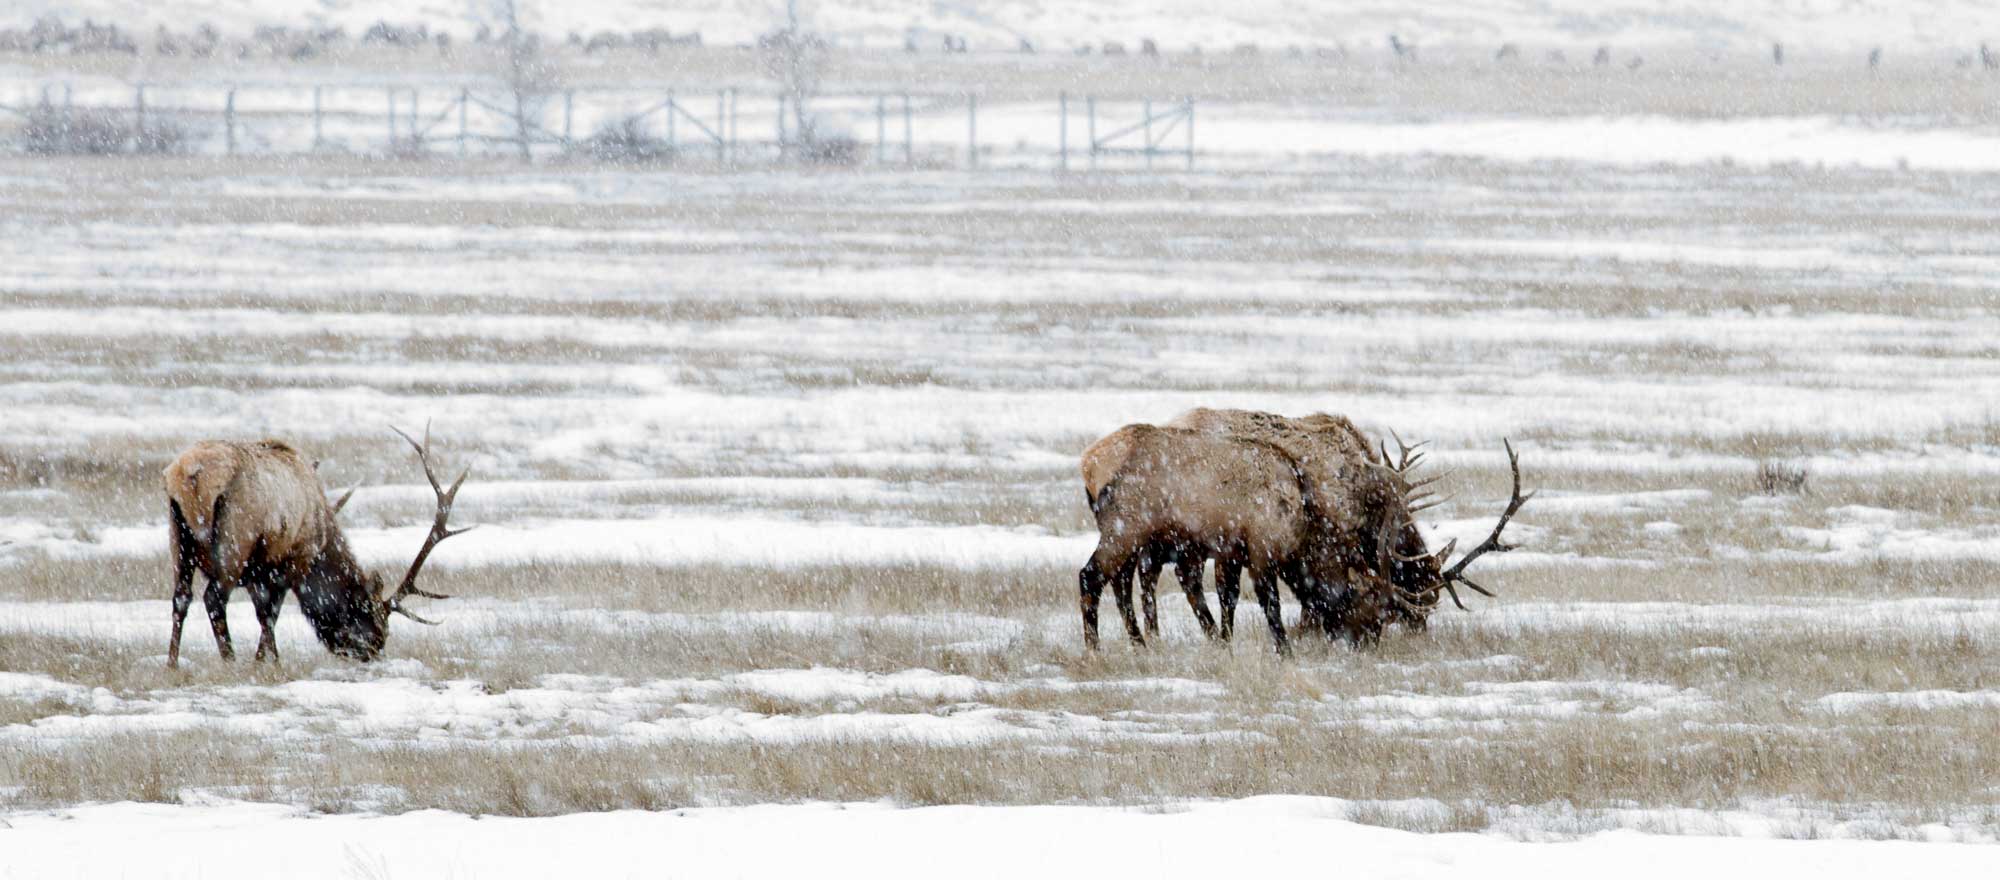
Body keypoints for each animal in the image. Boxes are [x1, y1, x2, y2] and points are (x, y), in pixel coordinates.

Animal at [162, 427, 471, 667]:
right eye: (376, 629)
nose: (374, 657)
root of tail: (191, 474)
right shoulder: (292, 559)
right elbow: (269, 614)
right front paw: (270, 662)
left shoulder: (259, 571)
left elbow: (262, 610)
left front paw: (264, 659)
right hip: (235, 539)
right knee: (214, 599)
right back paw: (230, 661)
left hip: (178, 536)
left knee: (181, 598)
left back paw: (173, 663)